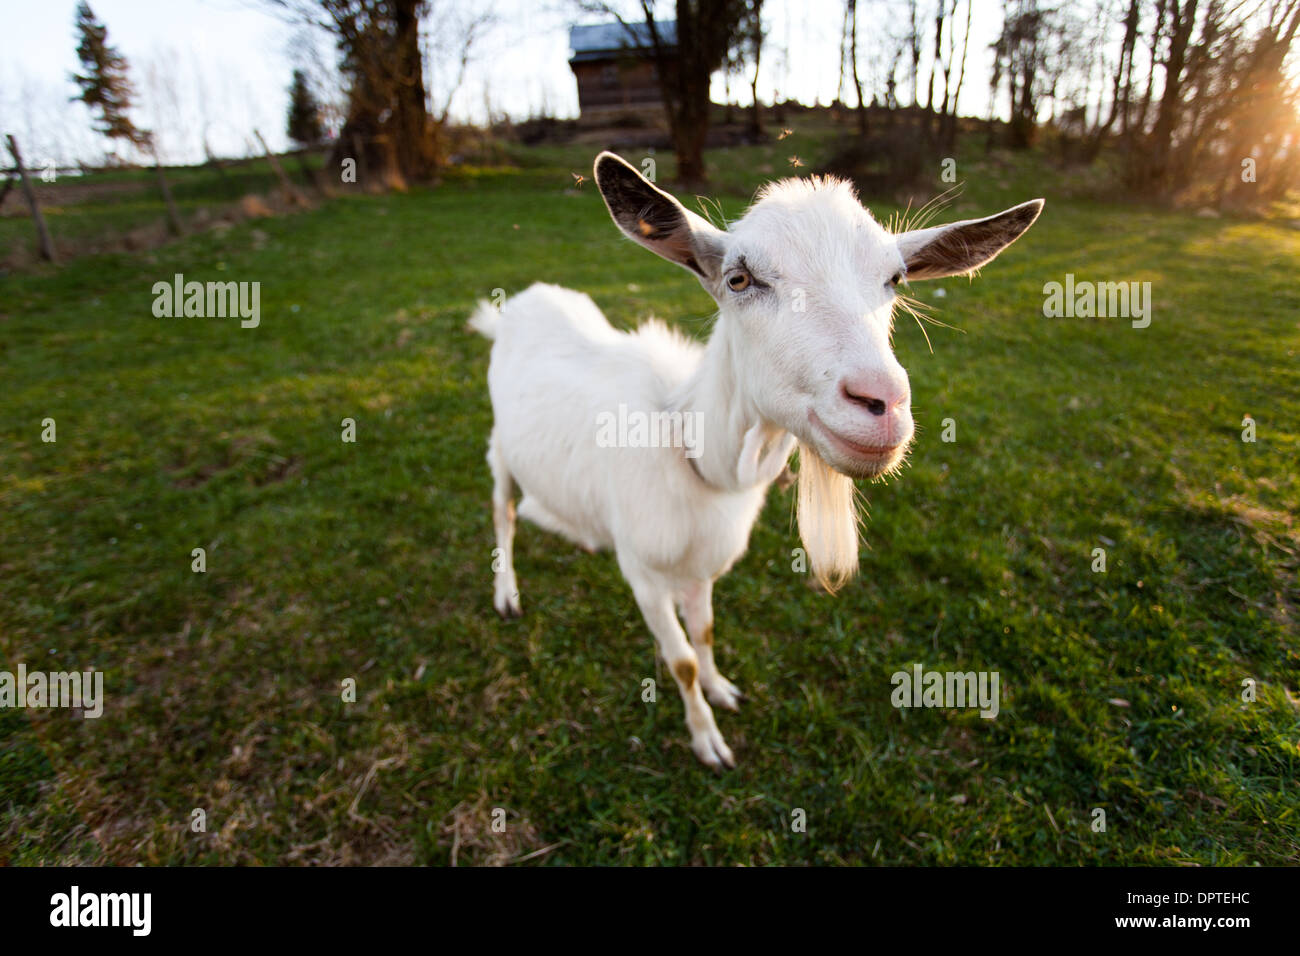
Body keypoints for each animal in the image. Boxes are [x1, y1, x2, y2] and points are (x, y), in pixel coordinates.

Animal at [469, 152, 1043, 769]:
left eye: (896, 279)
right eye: (738, 278)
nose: (882, 404)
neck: (697, 456)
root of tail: (516, 306)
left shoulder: (703, 565)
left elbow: (705, 635)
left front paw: (722, 689)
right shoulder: (645, 574)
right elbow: (680, 661)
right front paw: (708, 741)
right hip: (499, 446)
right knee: (503, 511)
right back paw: (506, 595)